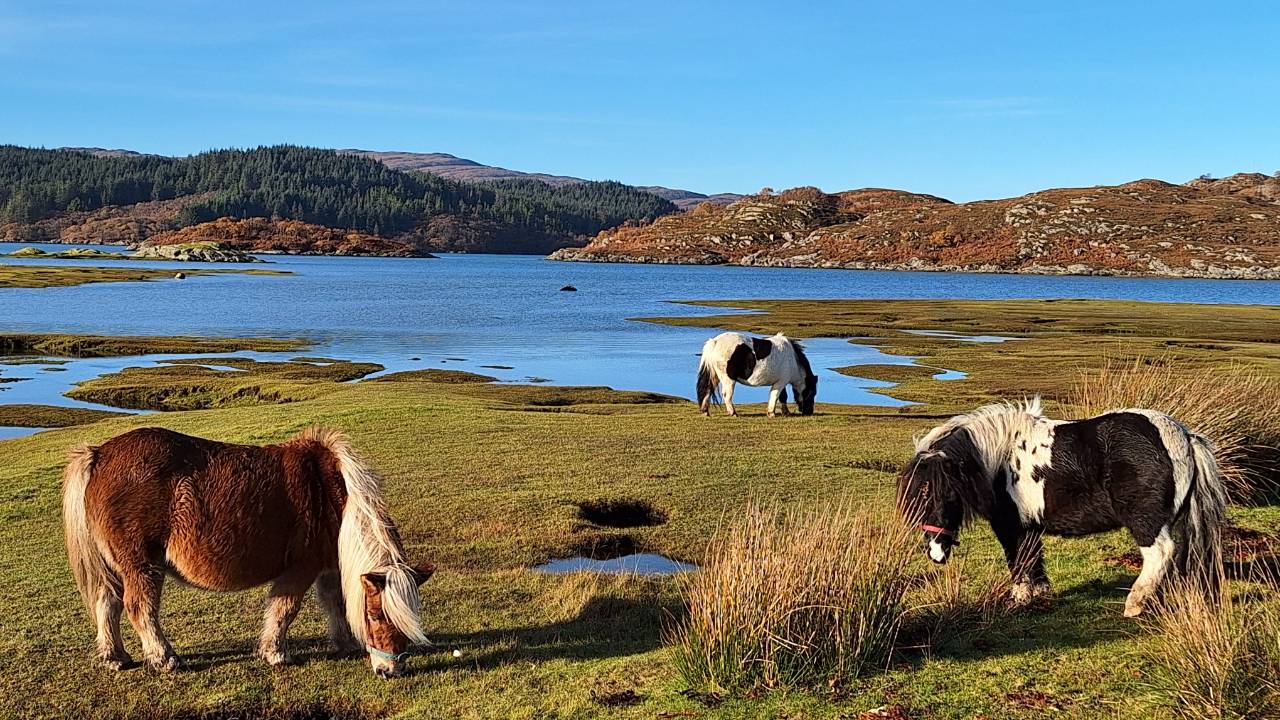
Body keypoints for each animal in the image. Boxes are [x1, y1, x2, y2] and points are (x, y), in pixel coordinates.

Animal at [62, 426, 435, 677]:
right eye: (377, 615)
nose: (390, 671)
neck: (330, 489)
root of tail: (99, 454)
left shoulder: (328, 566)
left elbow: (335, 603)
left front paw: (345, 643)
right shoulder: (301, 567)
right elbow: (285, 609)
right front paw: (276, 654)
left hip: (116, 567)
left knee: (107, 603)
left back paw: (115, 657)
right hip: (142, 565)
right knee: (140, 609)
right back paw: (165, 659)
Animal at [896, 398, 1226, 617]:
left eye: (931, 492)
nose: (935, 553)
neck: (997, 460)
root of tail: (1185, 437)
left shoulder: (1009, 525)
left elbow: (1018, 559)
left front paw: (1019, 598)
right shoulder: (1029, 525)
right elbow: (1033, 557)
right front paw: (1039, 594)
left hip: (1147, 522)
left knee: (1161, 554)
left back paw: (1134, 605)